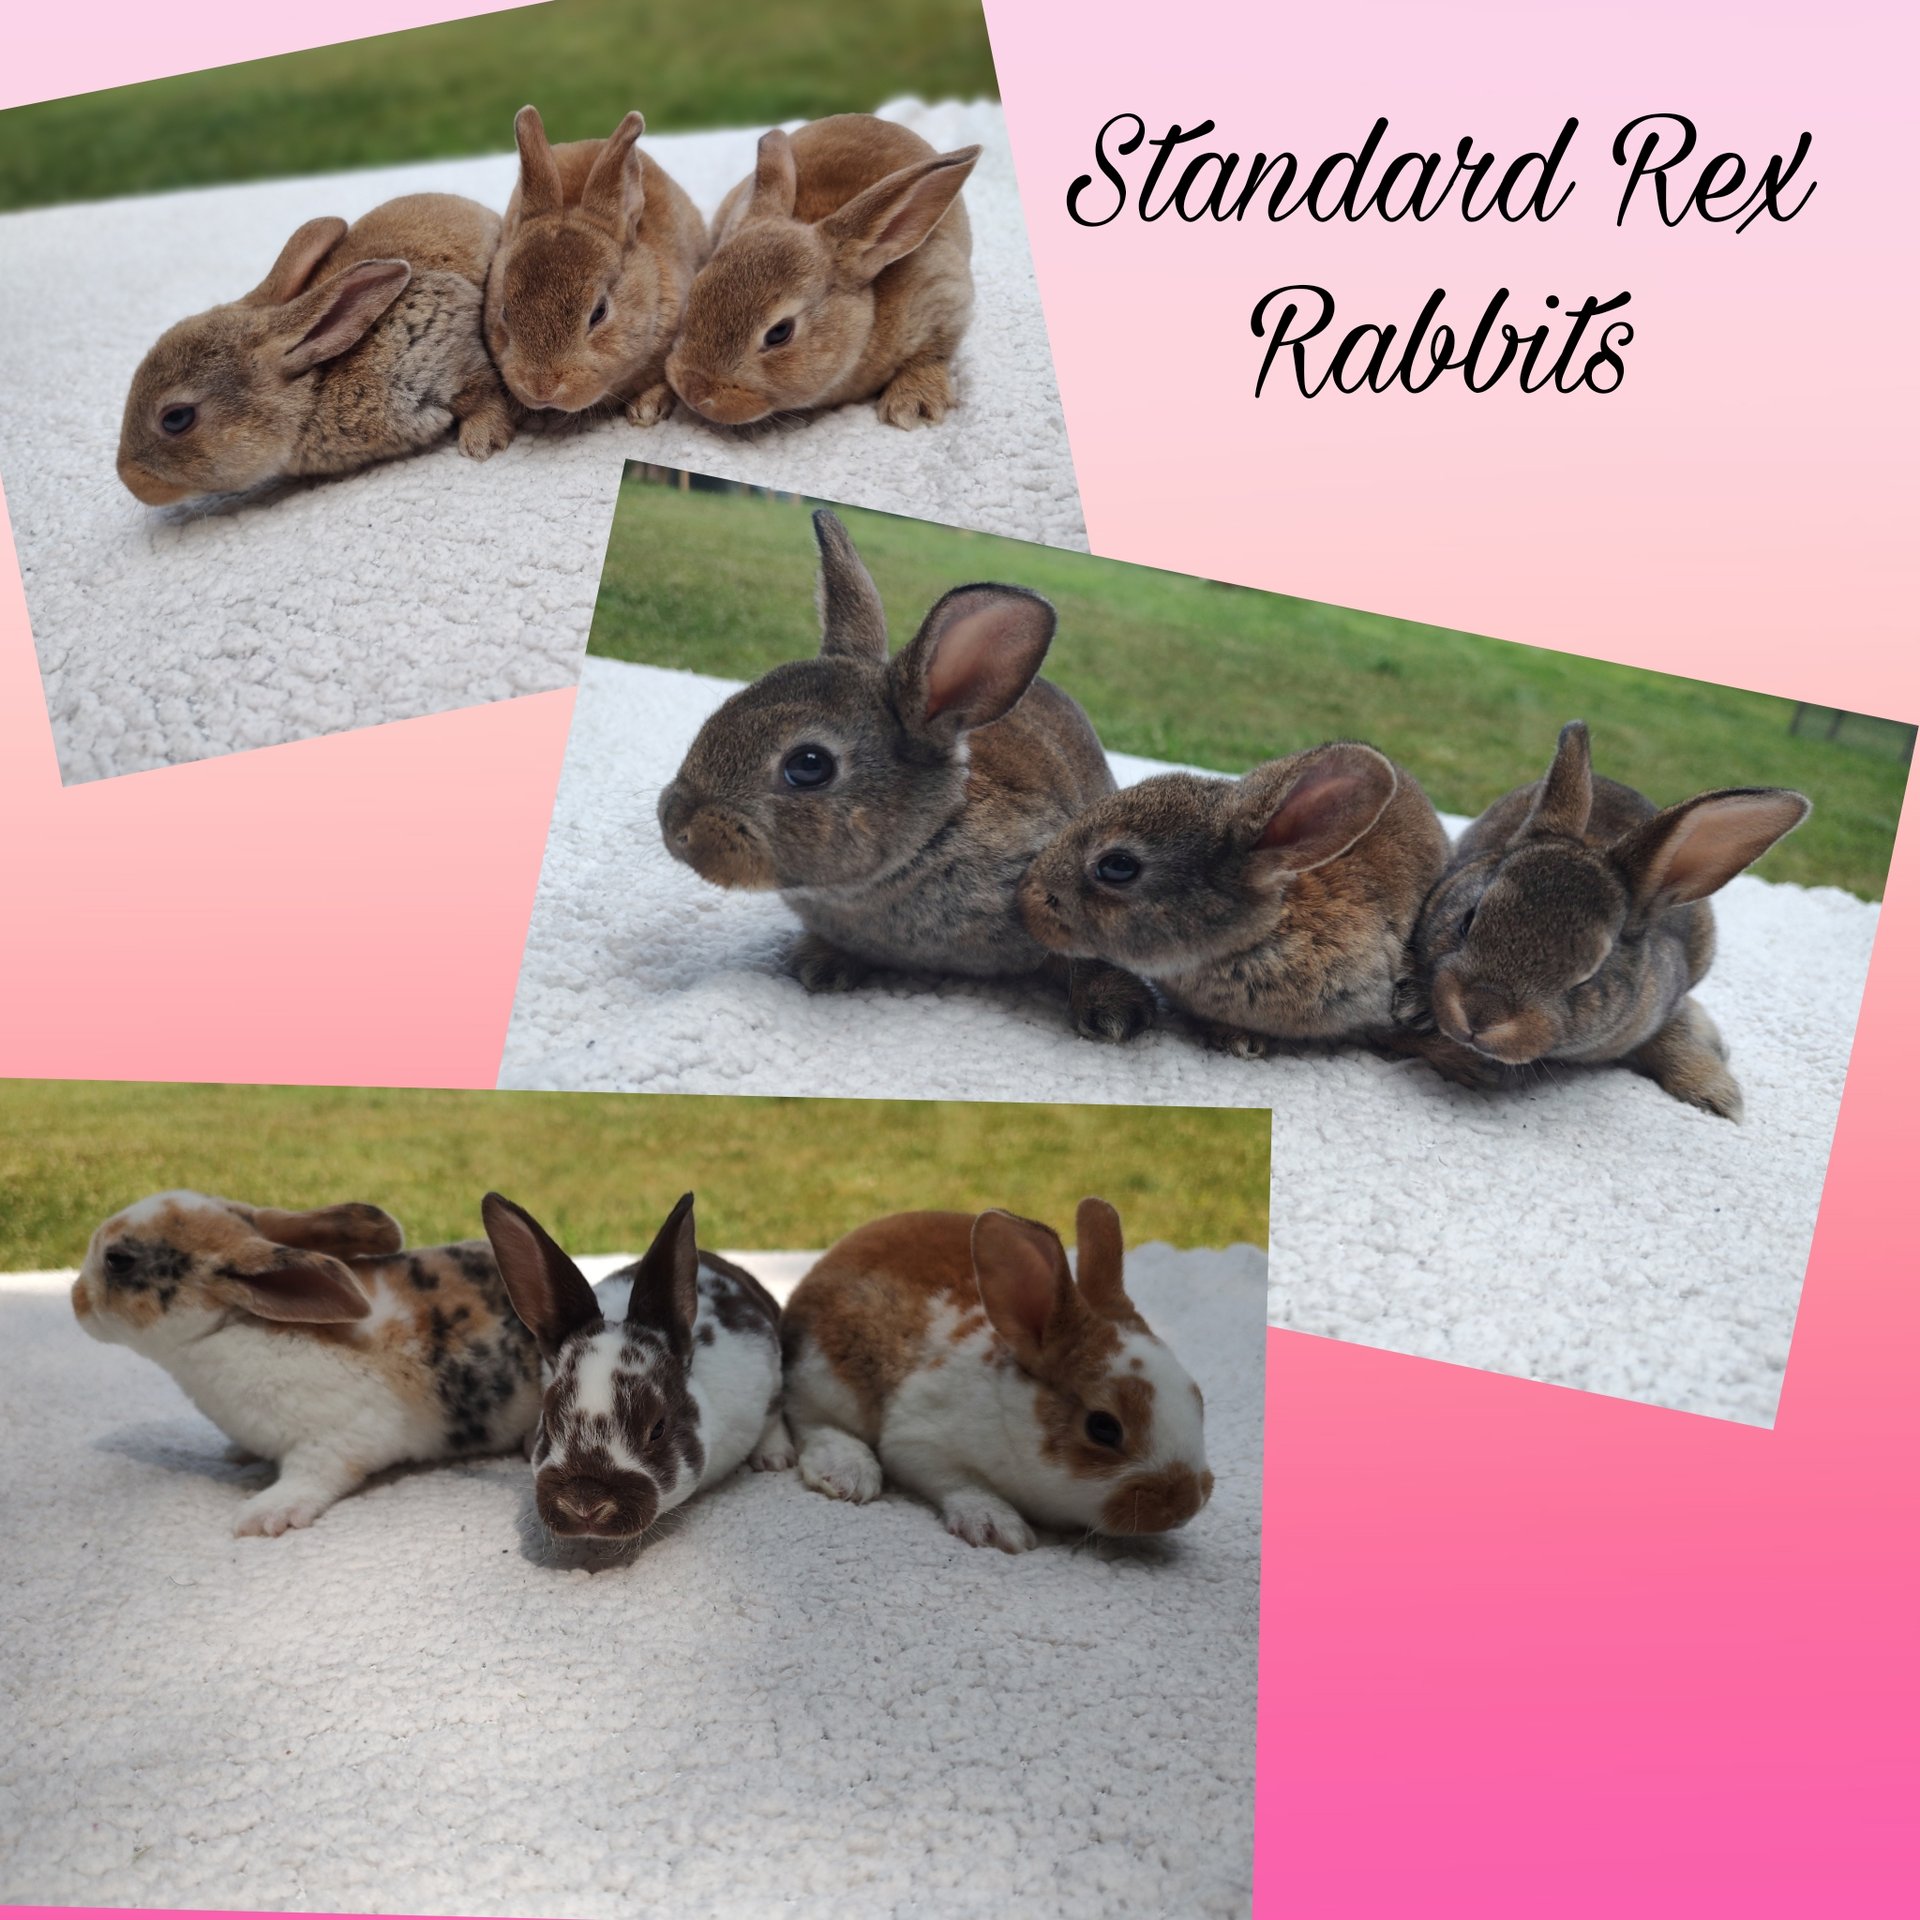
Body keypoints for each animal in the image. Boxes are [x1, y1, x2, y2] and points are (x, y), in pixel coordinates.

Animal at [70, 1191, 541, 1536]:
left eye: (118, 1260)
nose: (75, 1300)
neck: (230, 1324)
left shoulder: (335, 1436)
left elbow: (311, 1476)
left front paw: (264, 1514)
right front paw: (237, 1453)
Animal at [117, 193, 518, 505]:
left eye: (176, 418)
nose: (131, 480)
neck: (315, 389)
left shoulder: (448, 355)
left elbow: (482, 393)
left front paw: (482, 443)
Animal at [664, 114, 980, 429]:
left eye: (779, 332)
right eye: (694, 295)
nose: (693, 391)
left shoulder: (943, 294)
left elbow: (932, 354)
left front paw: (913, 405)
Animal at [782, 1198, 1212, 1554]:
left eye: (1199, 1399)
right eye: (1103, 1428)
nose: (1185, 1505)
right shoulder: (919, 1441)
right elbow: (957, 1480)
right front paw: (997, 1527)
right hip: (825, 1378)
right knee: (810, 1418)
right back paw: (848, 1473)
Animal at [1391, 720, 1811, 1119]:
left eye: (1590, 972)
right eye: (1468, 919)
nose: (1481, 1013)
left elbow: (1673, 1032)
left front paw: (1718, 1096)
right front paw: (1414, 1005)